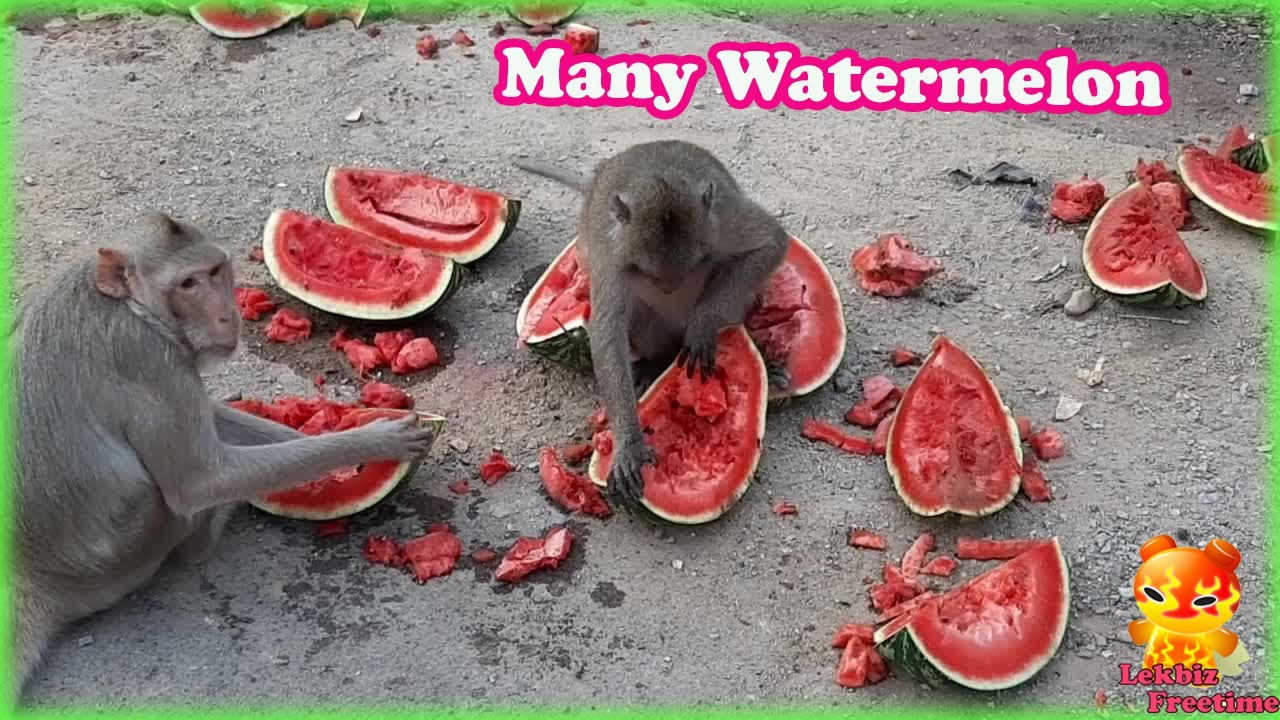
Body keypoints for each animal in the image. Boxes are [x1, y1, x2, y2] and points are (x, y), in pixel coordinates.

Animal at [9, 213, 438, 698]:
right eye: (187, 284)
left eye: (214, 272)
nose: (225, 314)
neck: (133, 307)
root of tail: (34, 577)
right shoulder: (150, 357)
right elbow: (197, 481)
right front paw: (372, 441)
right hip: (136, 548)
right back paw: (214, 525)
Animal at [515, 140, 791, 511]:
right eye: (645, 271)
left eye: (696, 262)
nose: (669, 288)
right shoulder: (611, 256)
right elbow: (607, 334)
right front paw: (629, 444)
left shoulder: (722, 220)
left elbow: (770, 244)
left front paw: (703, 322)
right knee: (640, 316)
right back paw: (655, 362)